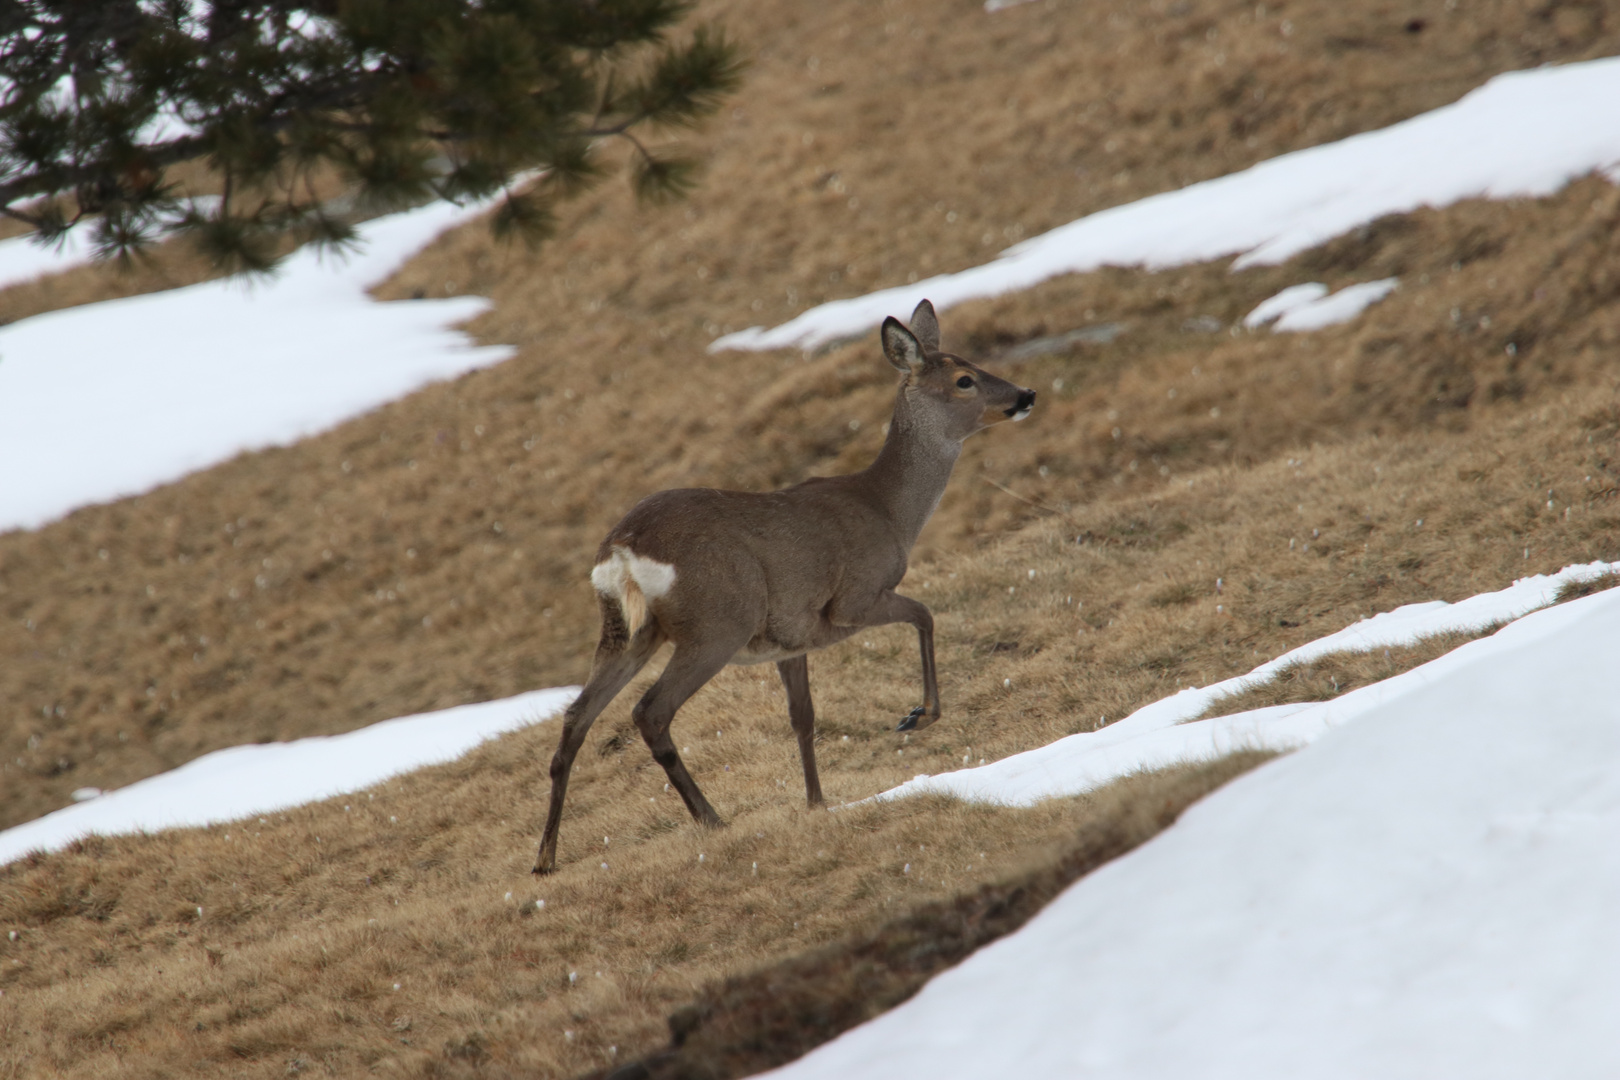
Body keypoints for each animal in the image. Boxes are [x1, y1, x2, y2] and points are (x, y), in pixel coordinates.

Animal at [533, 300, 1035, 874]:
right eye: (964, 380)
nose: (1025, 395)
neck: (888, 511)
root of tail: (621, 548)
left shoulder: (791, 640)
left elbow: (803, 716)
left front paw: (817, 802)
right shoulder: (853, 597)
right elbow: (925, 613)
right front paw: (919, 715)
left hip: (628, 630)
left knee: (577, 717)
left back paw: (545, 858)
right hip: (717, 623)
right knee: (650, 711)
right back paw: (711, 819)